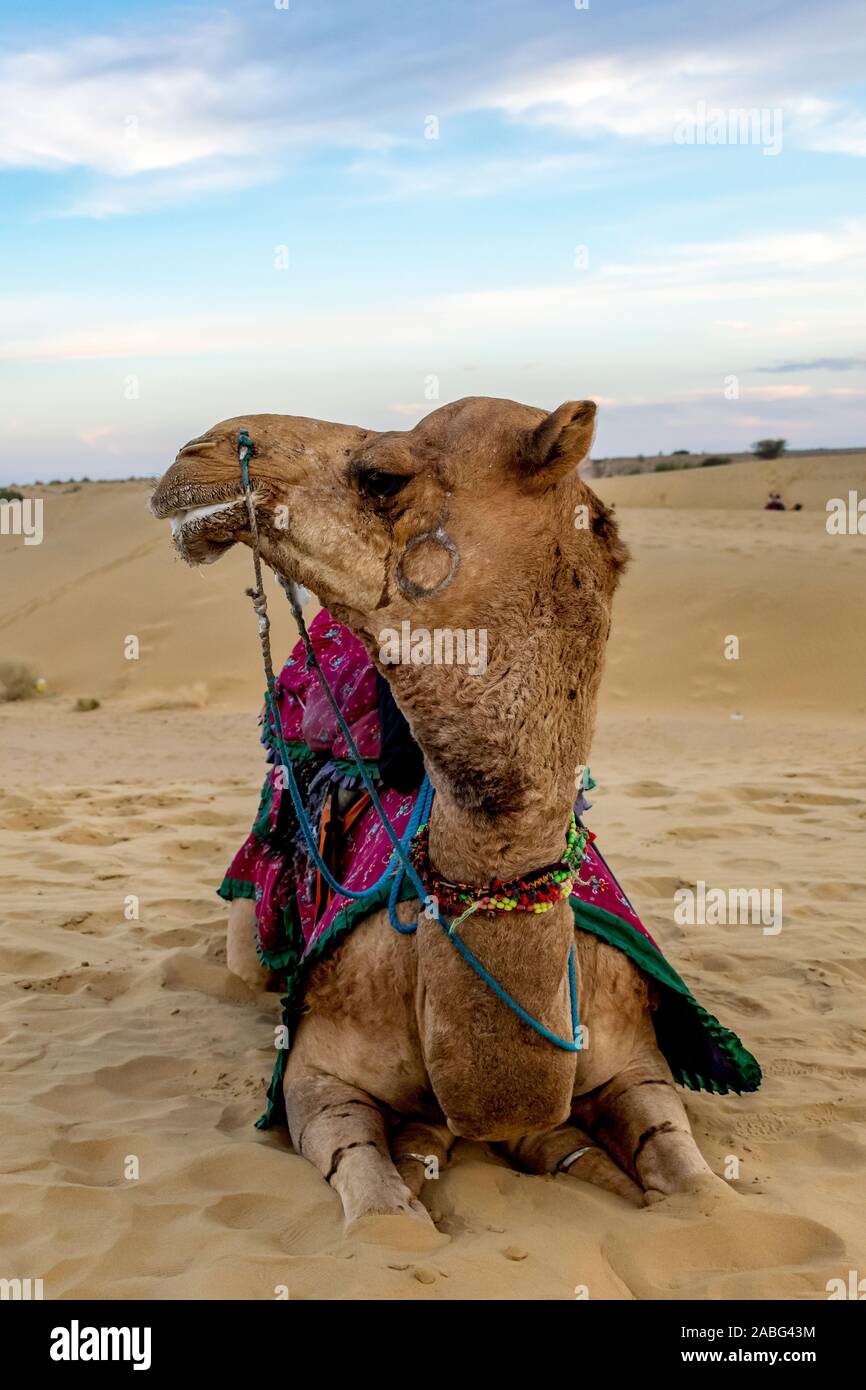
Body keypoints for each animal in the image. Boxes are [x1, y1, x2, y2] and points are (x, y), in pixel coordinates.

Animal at [151, 396, 751, 1246]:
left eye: (382, 475)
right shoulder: (315, 1072)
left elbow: (700, 1191)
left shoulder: (637, 1055)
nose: (196, 452)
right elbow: (380, 1213)